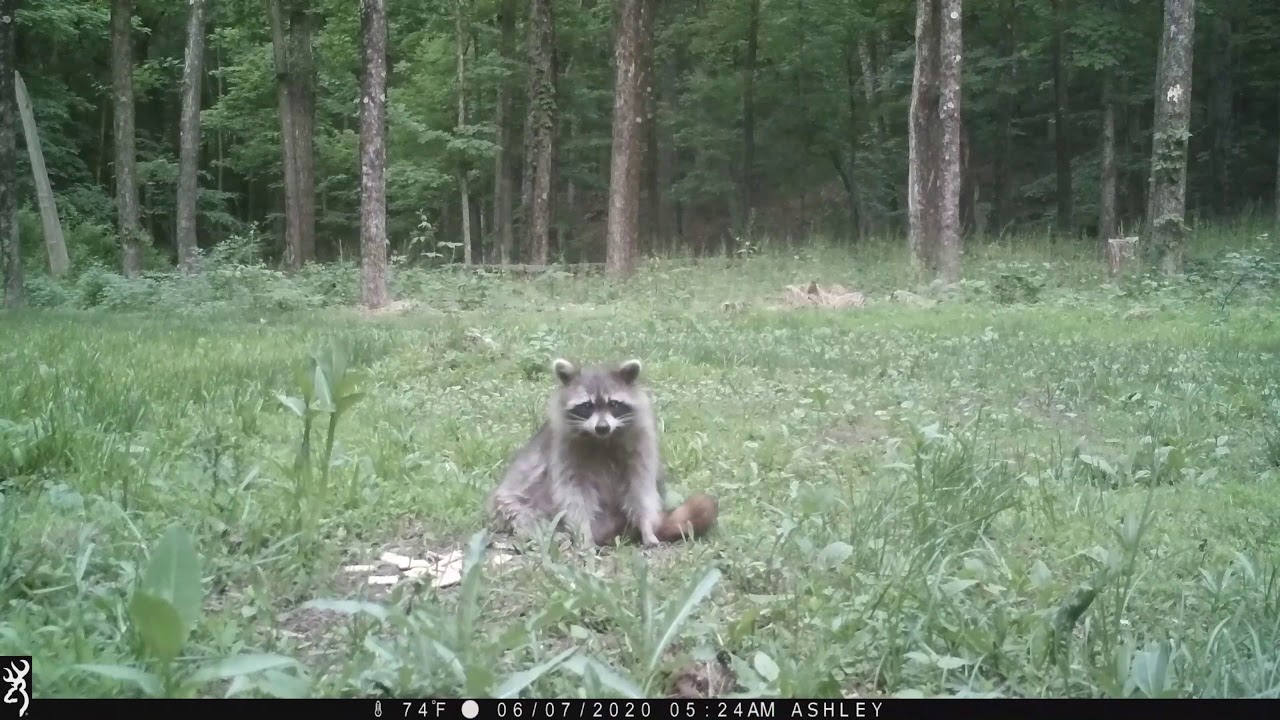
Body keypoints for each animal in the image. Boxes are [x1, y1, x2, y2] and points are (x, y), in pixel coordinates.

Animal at [486, 358, 718, 548]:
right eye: (587, 406)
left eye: (613, 404)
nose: (602, 427)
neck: (603, 440)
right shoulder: (564, 451)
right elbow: (575, 496)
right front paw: (584, 533)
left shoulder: (640, 446)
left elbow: (641, 489)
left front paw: (646, 526)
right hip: (514, 503)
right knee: (524, 515)